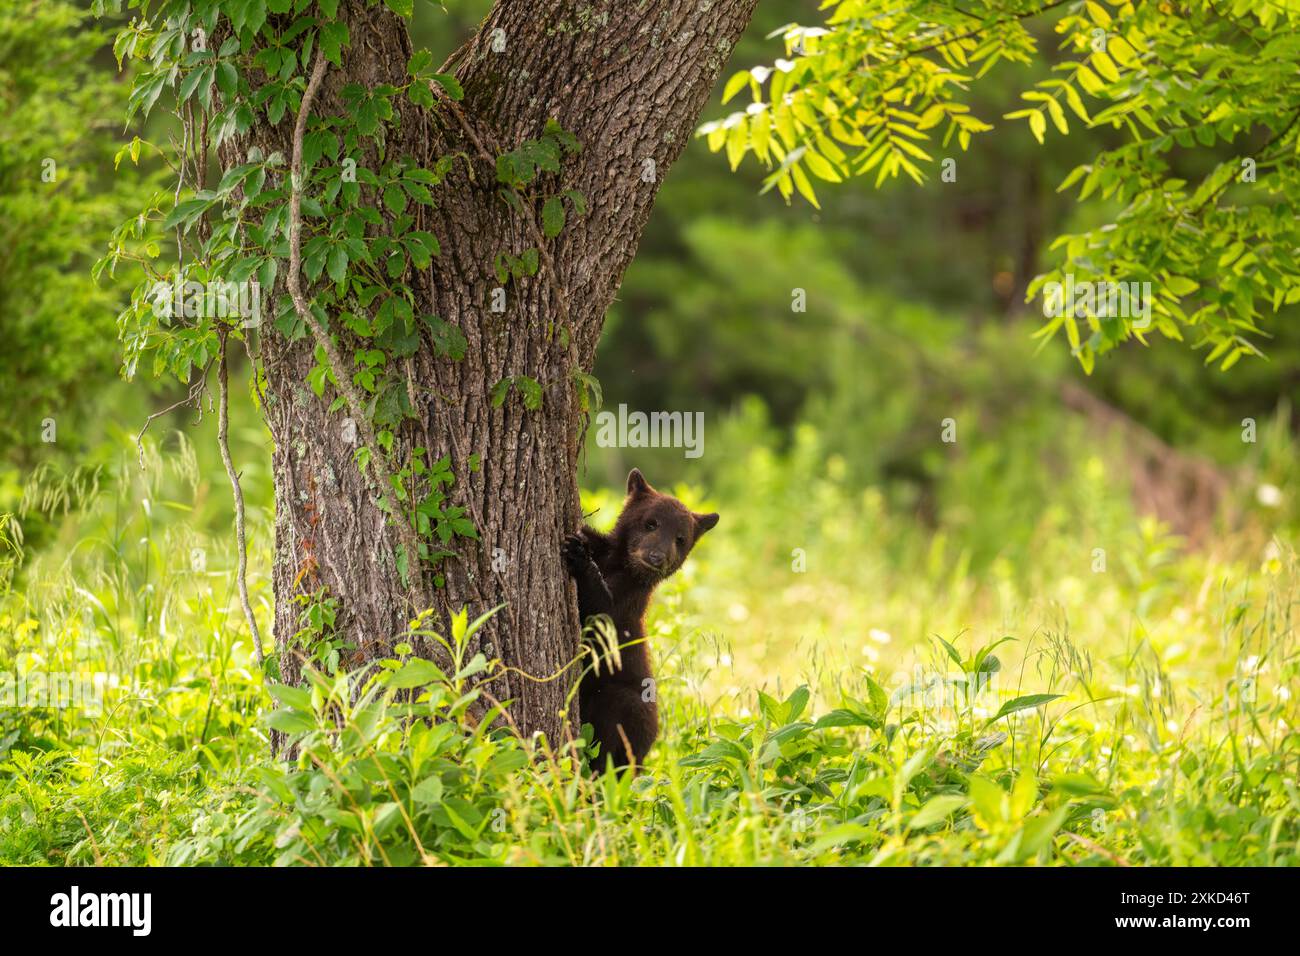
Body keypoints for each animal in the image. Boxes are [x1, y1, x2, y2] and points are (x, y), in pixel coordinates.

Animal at [562, 468, 719, 772]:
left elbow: (602, 609)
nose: (656, 557)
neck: (620, 564)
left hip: (627, 706)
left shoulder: (631, 598)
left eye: (680, 538)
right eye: (650, 524)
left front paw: (578, 556)